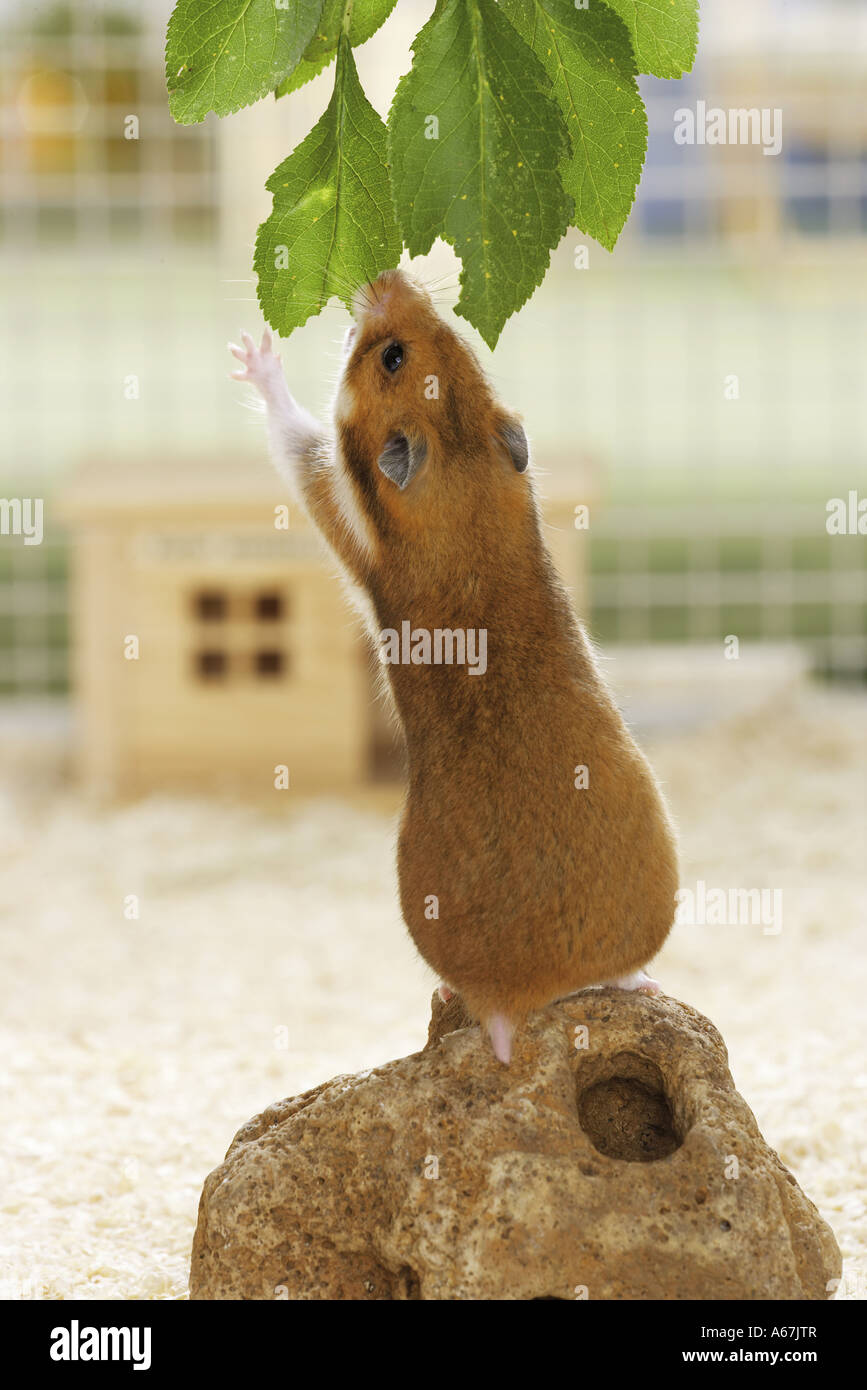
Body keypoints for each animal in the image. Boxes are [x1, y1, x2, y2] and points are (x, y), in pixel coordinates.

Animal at [229, 268, 679, 1065]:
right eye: (460, 341)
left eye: (392, 357)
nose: (388, 275)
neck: (462, 464)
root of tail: (520, 994)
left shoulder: (331, 492)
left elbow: (295, 435)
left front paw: (254, 352)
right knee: (614, 975)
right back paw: (642, 982)